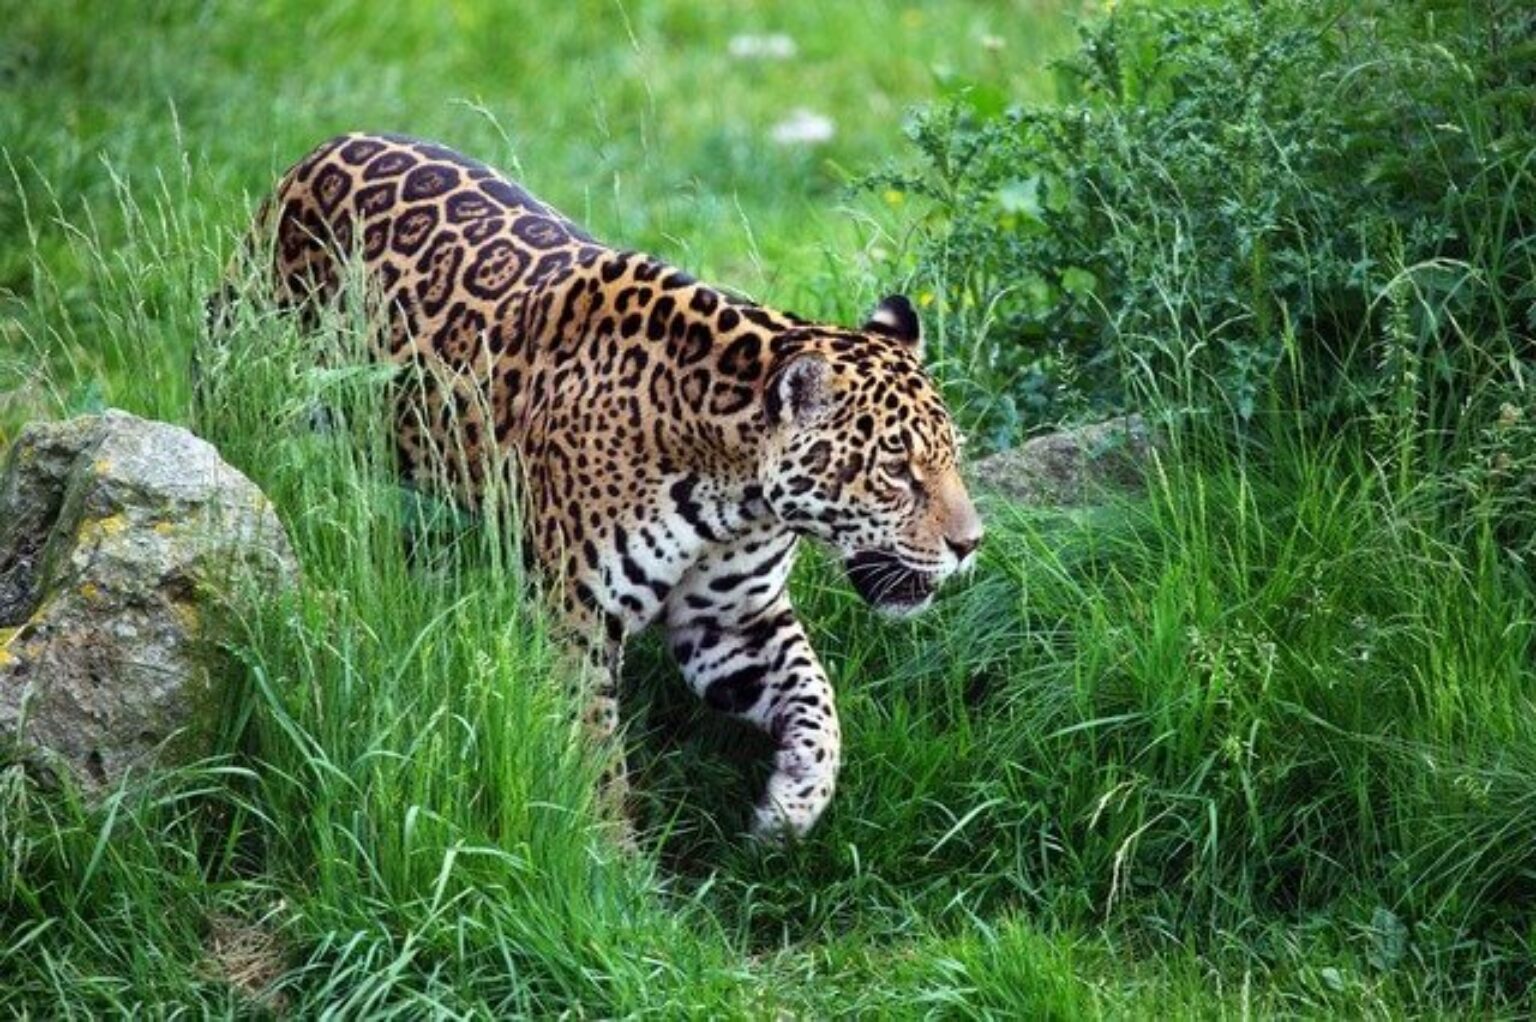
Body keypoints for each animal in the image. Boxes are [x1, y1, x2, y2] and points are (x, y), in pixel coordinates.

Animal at [225, 132, 983, 839]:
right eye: (897, 471)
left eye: (953, 459)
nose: (972, 545)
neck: (735, 492)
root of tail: (323, 150)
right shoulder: (575, 619)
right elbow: (593, 750)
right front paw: (612, 855)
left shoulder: (732, 623)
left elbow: (817, 696)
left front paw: (794, 803)